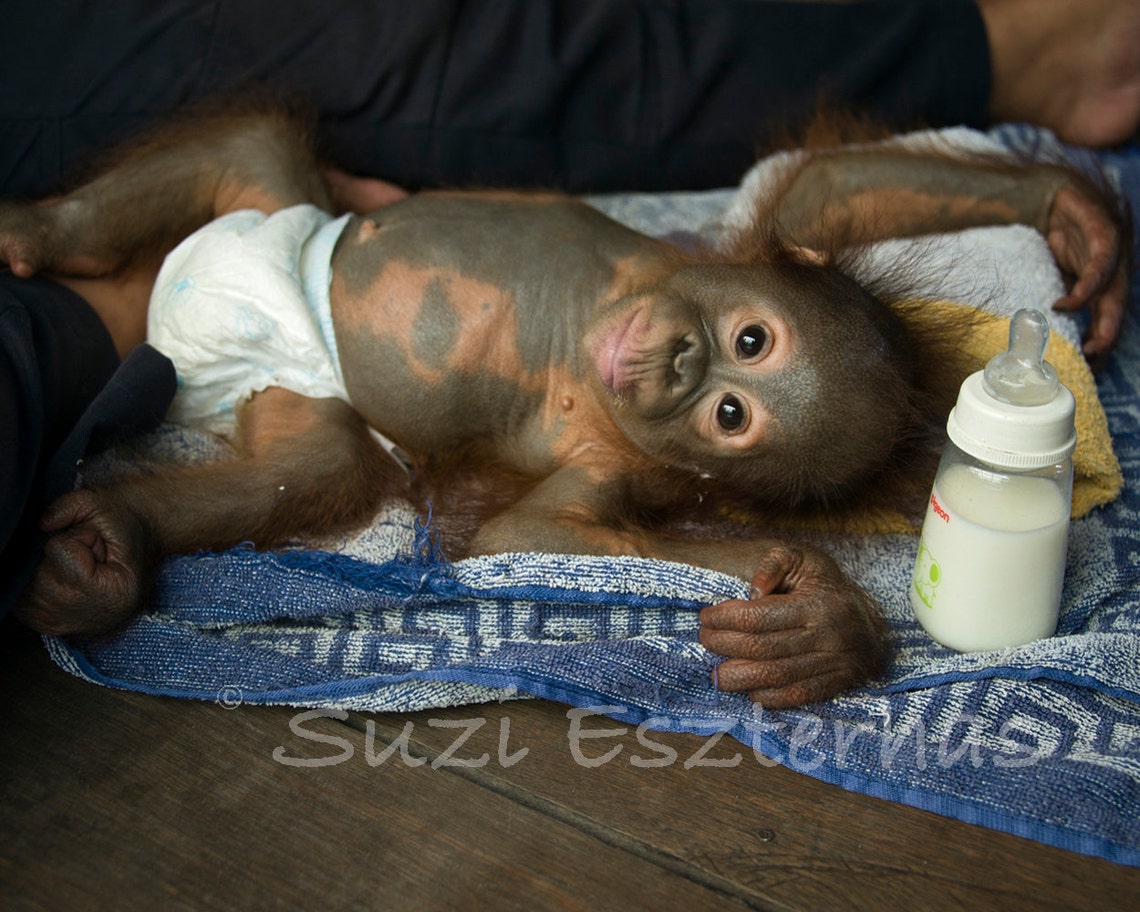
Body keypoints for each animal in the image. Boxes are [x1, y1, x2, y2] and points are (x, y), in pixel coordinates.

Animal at [0, 104, 1128, 708]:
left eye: (730, 417)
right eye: (750, 342)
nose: (675, 362)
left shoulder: (617, 462)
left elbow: (524, 533)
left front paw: (822, 618)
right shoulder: (720, 247)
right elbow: (821, 196)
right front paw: (1073, 213)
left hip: (290, 381)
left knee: (315, 466)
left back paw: (107, 545)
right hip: (285, 211)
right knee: (247, 147)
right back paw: (32, 232)